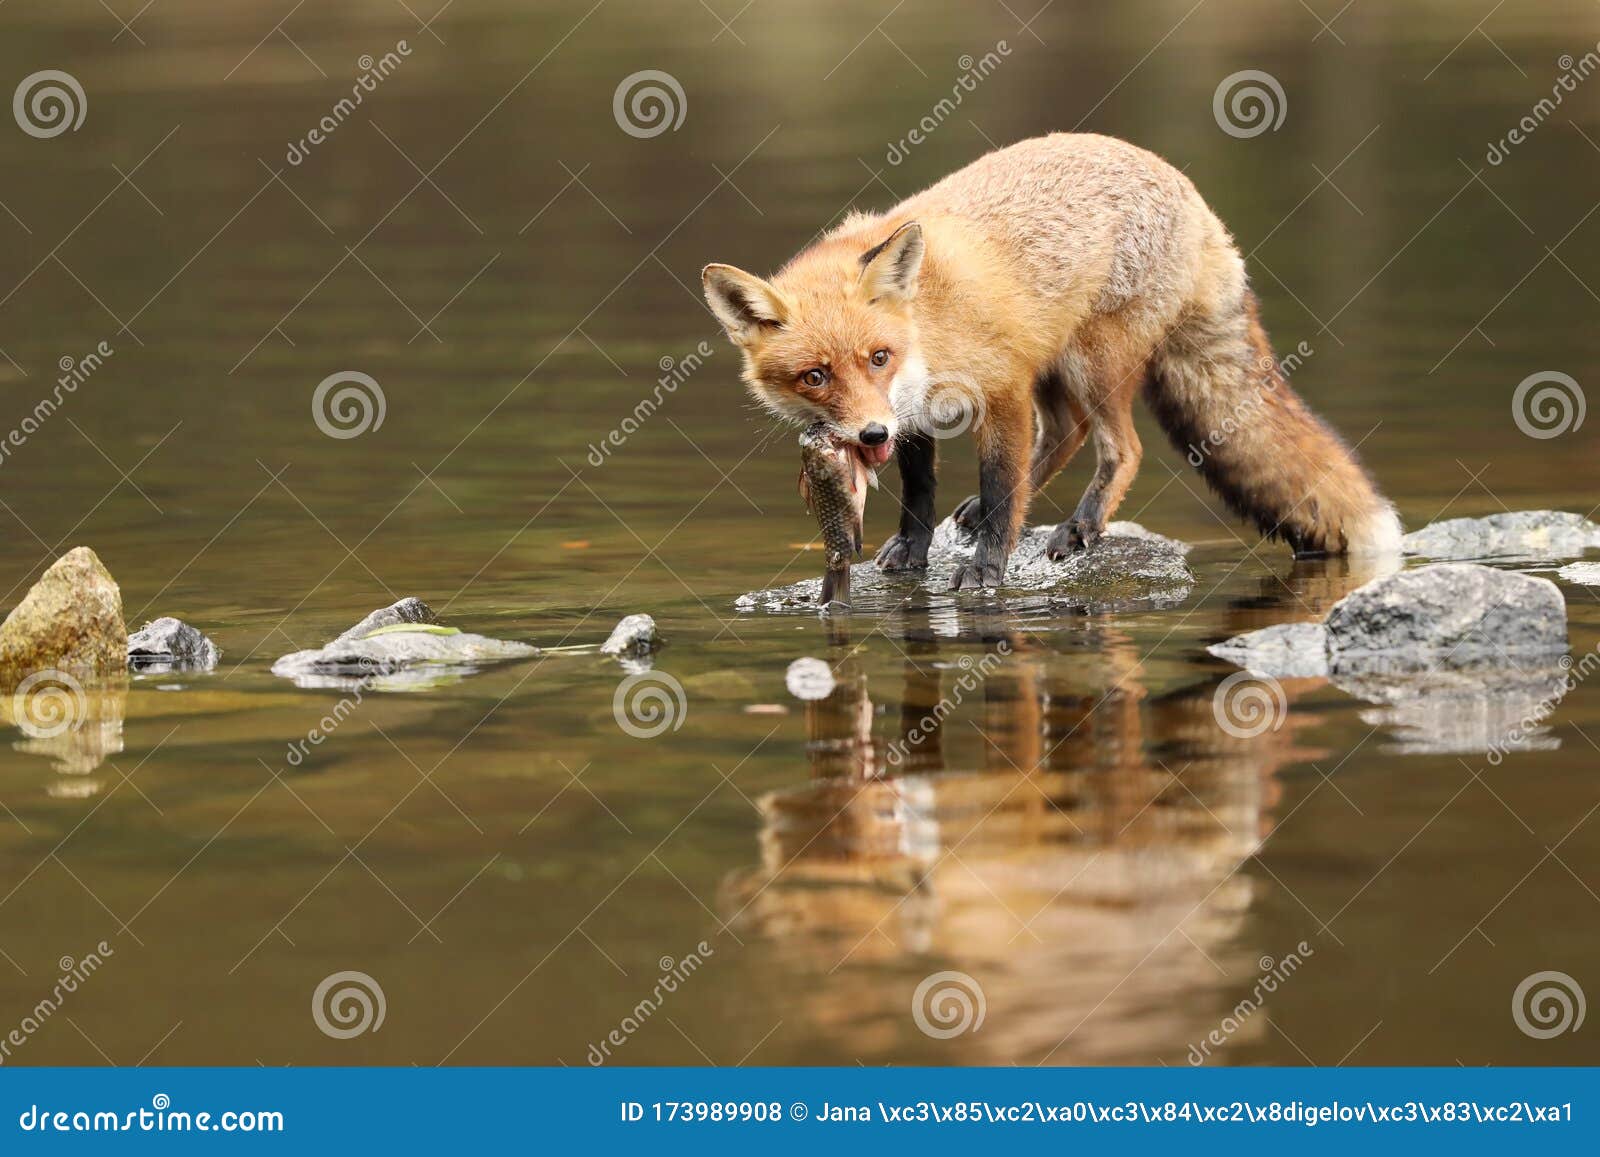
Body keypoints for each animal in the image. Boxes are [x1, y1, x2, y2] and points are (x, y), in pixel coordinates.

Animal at [702, 133, 1402, 590]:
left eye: (878, 357)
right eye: (815, 377)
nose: (870, 435)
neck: (928, 327)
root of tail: (1192, 195)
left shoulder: (1001, 390)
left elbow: (1001, 485)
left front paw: (986, 569)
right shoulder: (915, 412)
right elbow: (921, 490)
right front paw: (912, 548)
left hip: (1094, 363)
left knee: (1120, 448)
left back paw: (1080, 527)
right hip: (1057, 366)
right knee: (1070, 433)